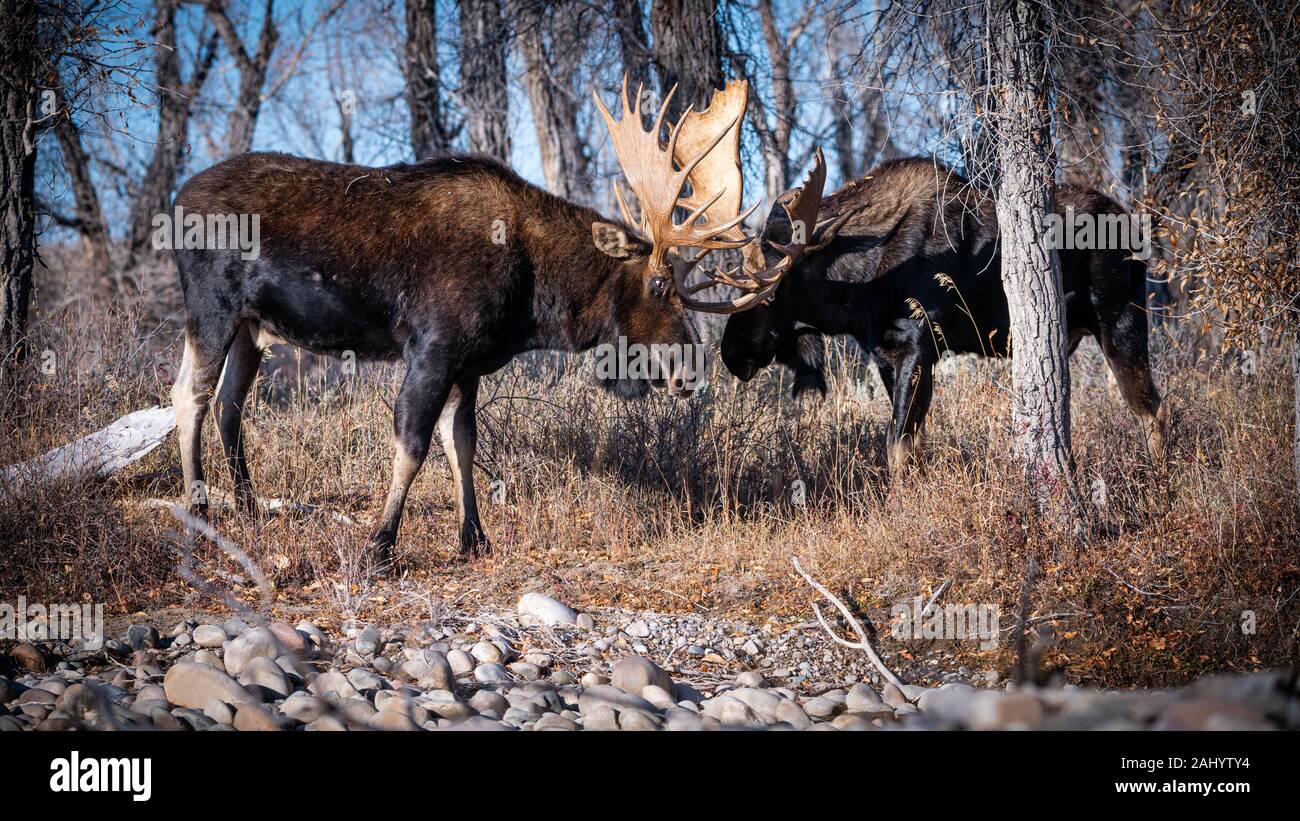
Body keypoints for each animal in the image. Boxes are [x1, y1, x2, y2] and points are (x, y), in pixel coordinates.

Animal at [168, 77, 827, 570]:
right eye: (660, 285)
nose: (691, 371)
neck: (535, 304)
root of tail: (175, 200)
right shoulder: (432, 348)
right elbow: (412, 445)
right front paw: (379, 546)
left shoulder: (470, 364)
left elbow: (462, 446)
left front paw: (474, 539)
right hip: (211, 308)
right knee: (188, 395)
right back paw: (199, 508)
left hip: (254, 328)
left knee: (228, 402)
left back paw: (246, 506)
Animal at [720, 157, 1167, 470]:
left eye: (773, 292)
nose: (732, 353)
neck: (858, 287)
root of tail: (1136, 228)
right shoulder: (886, 355)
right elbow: (913, 442)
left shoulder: (918, 347)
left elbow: (897, 444)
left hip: (1120, 321)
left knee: (1151, 408)